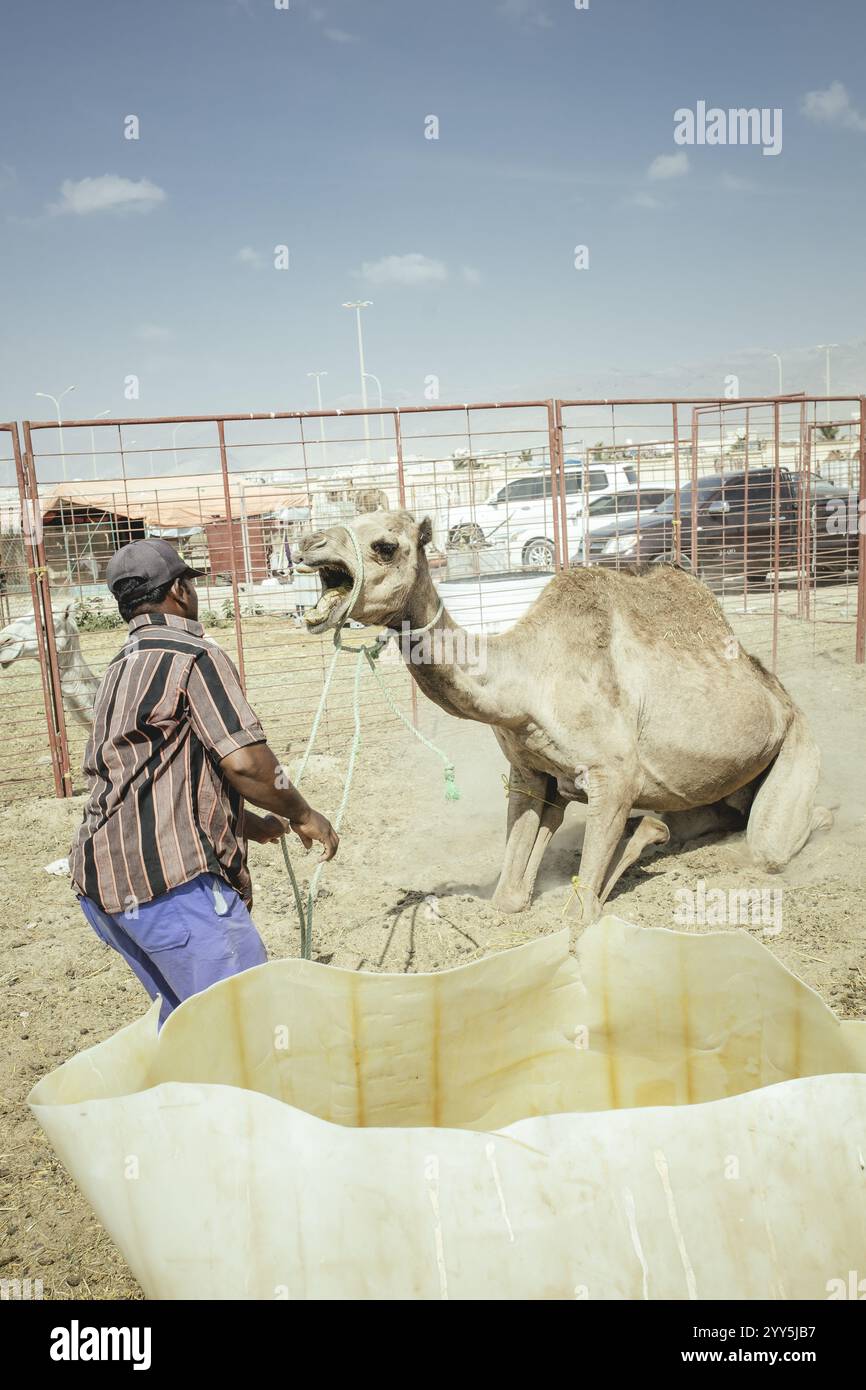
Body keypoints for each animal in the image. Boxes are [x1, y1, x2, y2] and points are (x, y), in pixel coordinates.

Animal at [298, 511, 832, 921]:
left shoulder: (615, 775)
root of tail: (781, 696)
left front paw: (633, 848)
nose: (307, 542)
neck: (525, 683)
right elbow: (509, 897)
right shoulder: (528, 772)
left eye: (385, 545)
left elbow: (580, 910)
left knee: (768, 844)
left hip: (798, 744)